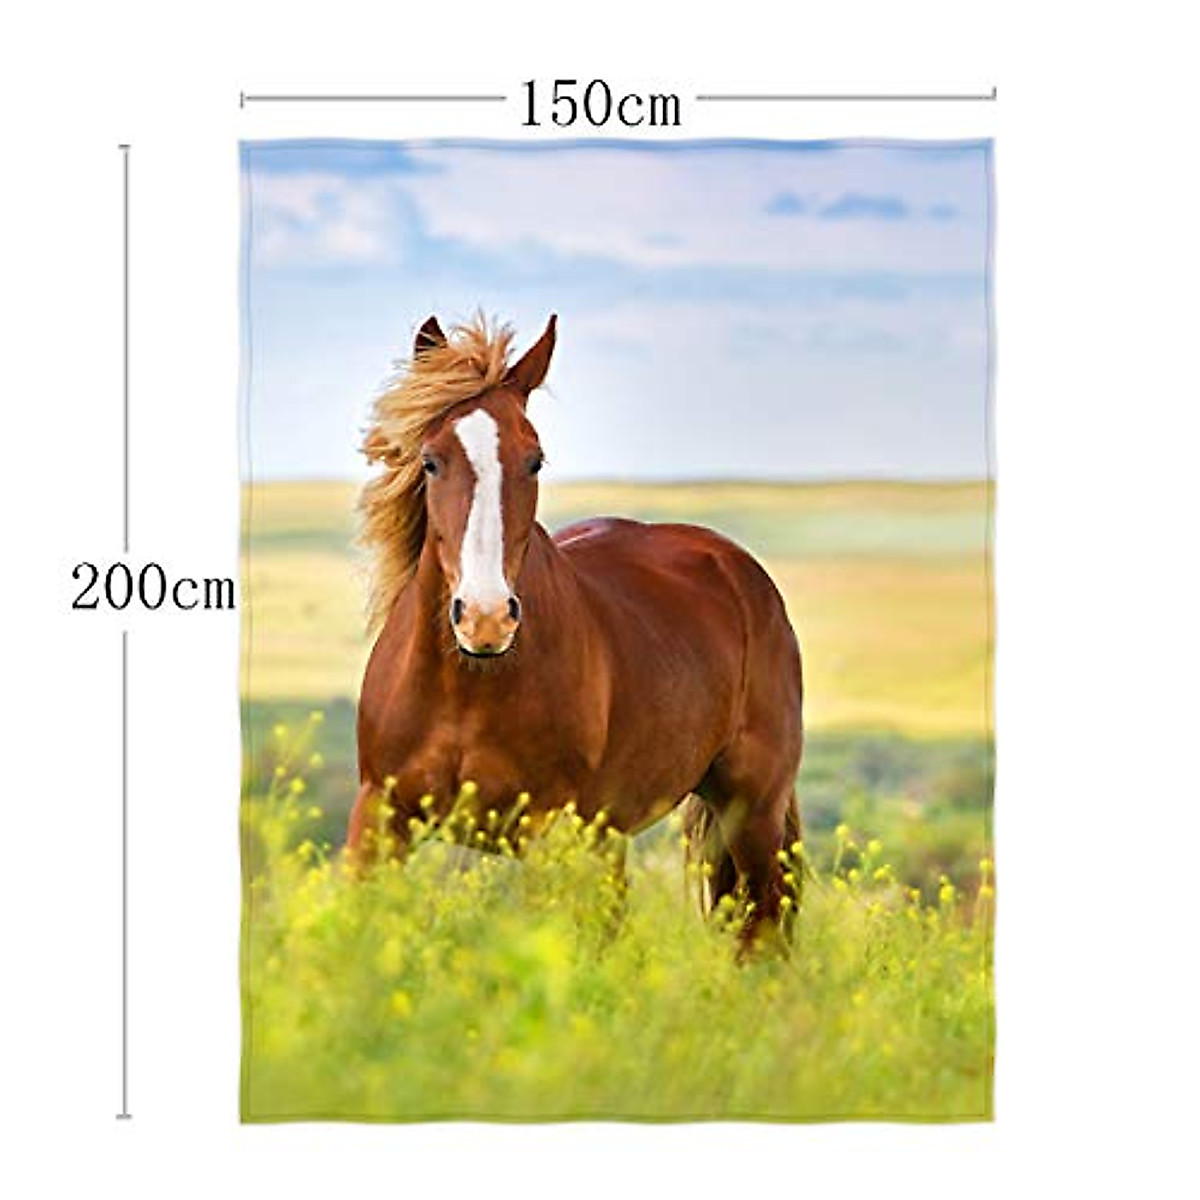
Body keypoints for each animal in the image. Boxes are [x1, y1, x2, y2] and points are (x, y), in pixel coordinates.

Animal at [349, 314, 804, 947]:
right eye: (432, 460)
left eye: (534, 461)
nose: (486, 618)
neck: (468, 685)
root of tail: (738, 569)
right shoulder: (378, 817)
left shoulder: (545, 832)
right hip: (613, 836)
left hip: (753, 812)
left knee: (761, 933)